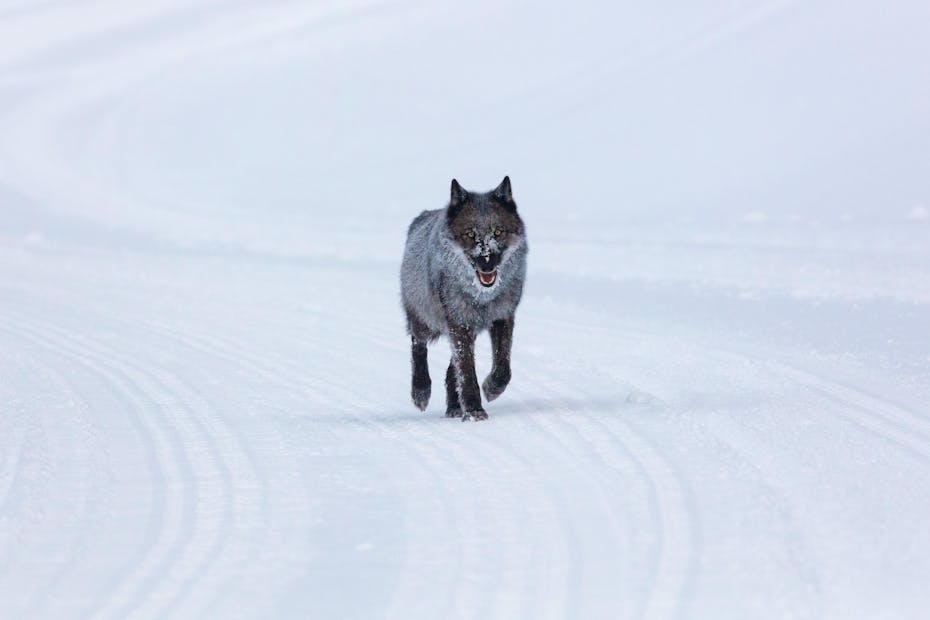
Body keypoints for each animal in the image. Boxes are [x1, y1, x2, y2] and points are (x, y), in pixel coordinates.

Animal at [400, 176, 528, 421]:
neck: (483, 298)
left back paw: (453, 406)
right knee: (417, 346)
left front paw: (490, 389)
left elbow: (502, 368)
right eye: (470, 234)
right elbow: (467, 370)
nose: (487, 263)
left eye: (498, 232)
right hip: (425, 321)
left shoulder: (503, 317)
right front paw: (475, 409)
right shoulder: (459, 323)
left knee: (451, 368)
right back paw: (421, 391)